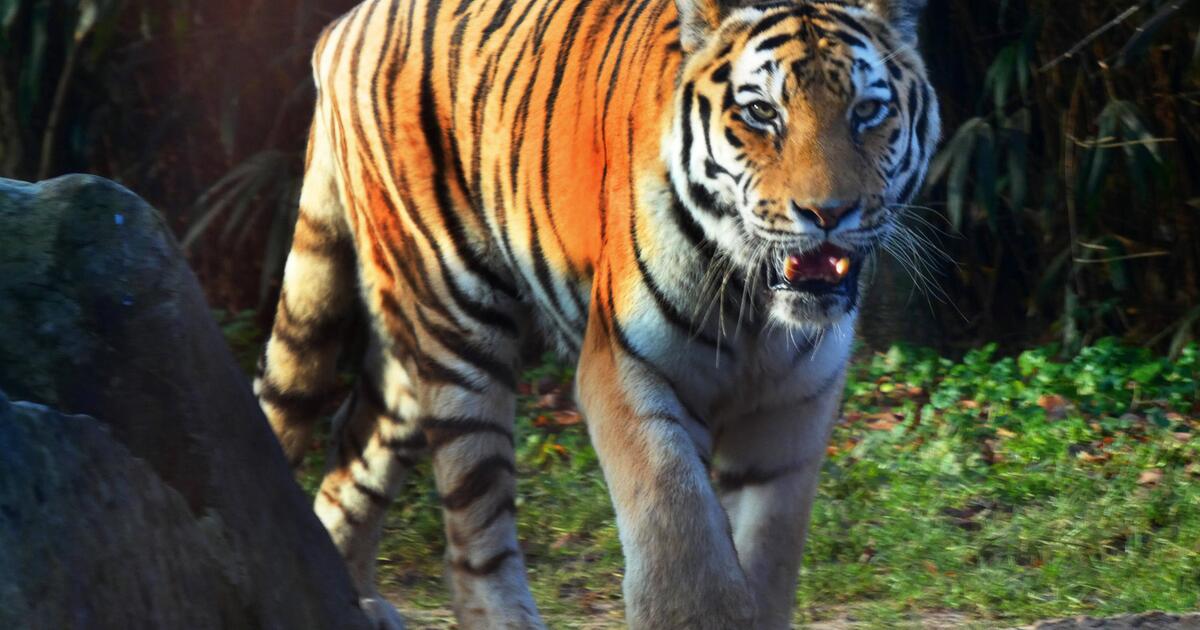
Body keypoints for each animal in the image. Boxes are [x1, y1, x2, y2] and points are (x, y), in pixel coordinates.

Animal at [254, 0, 939, 627]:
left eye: (867, 112)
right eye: (762, 113)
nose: (828, 213)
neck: (757, 311)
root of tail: (344, 24)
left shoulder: (794, 405)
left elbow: (769, 556)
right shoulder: (626, 369)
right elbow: (683, 542)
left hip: (405, 355)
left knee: (355, 448)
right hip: (456, 320)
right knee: (474, 533)